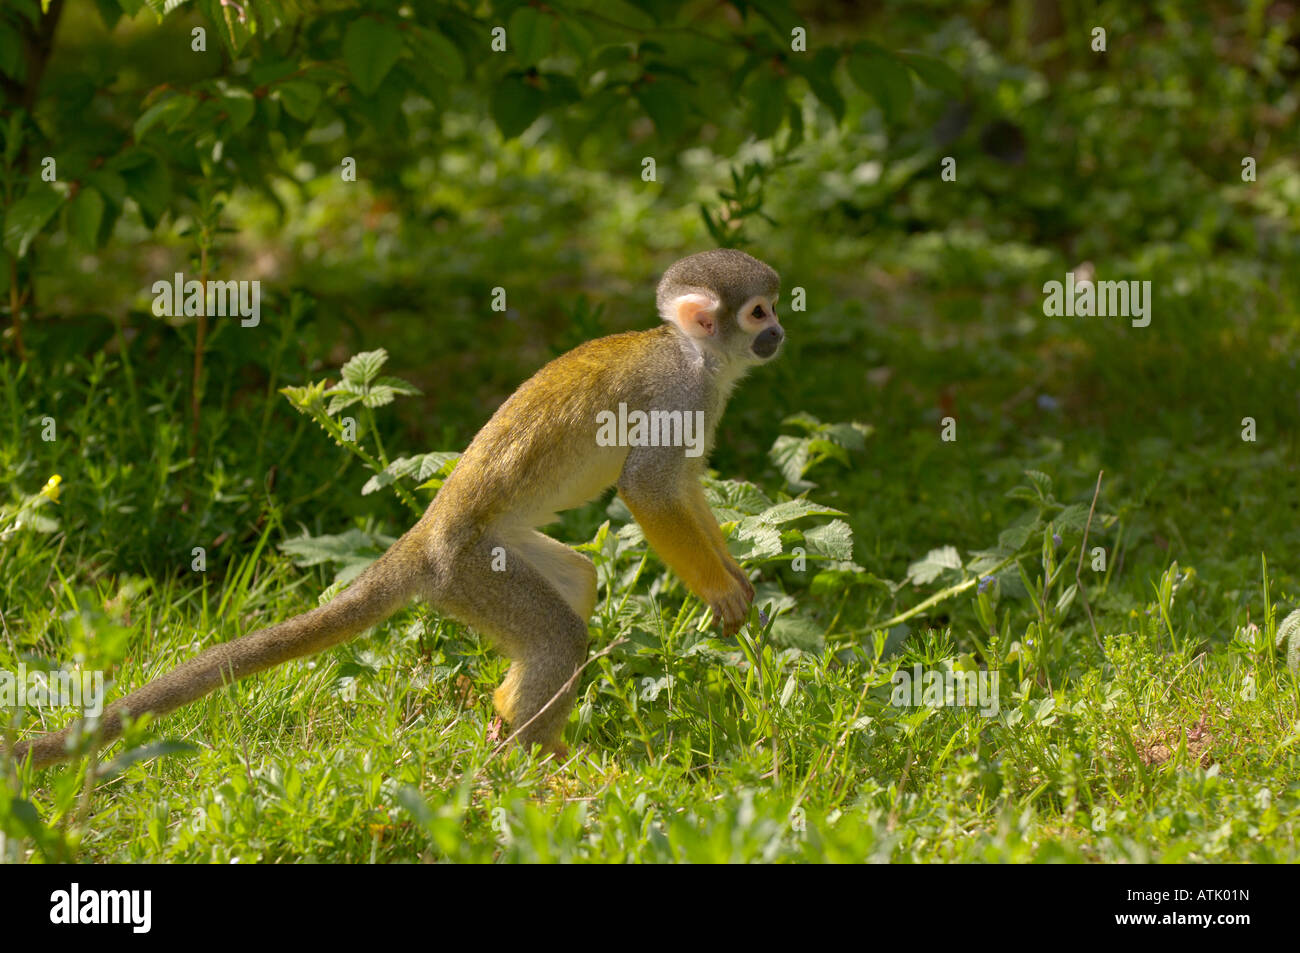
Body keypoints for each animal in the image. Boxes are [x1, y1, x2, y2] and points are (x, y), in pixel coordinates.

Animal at [7, 249, 784, 769]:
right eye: (758, 310)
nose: (778, 332)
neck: (698, 356)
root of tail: (426, 534)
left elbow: (683, 486)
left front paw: (736, 577)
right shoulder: (680, 390)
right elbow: (649, 487)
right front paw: (718, 589)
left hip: (493, 551)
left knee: (575, 584)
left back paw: (511, 719)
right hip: (465, 569)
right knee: (560, 636)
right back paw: (532, 755)